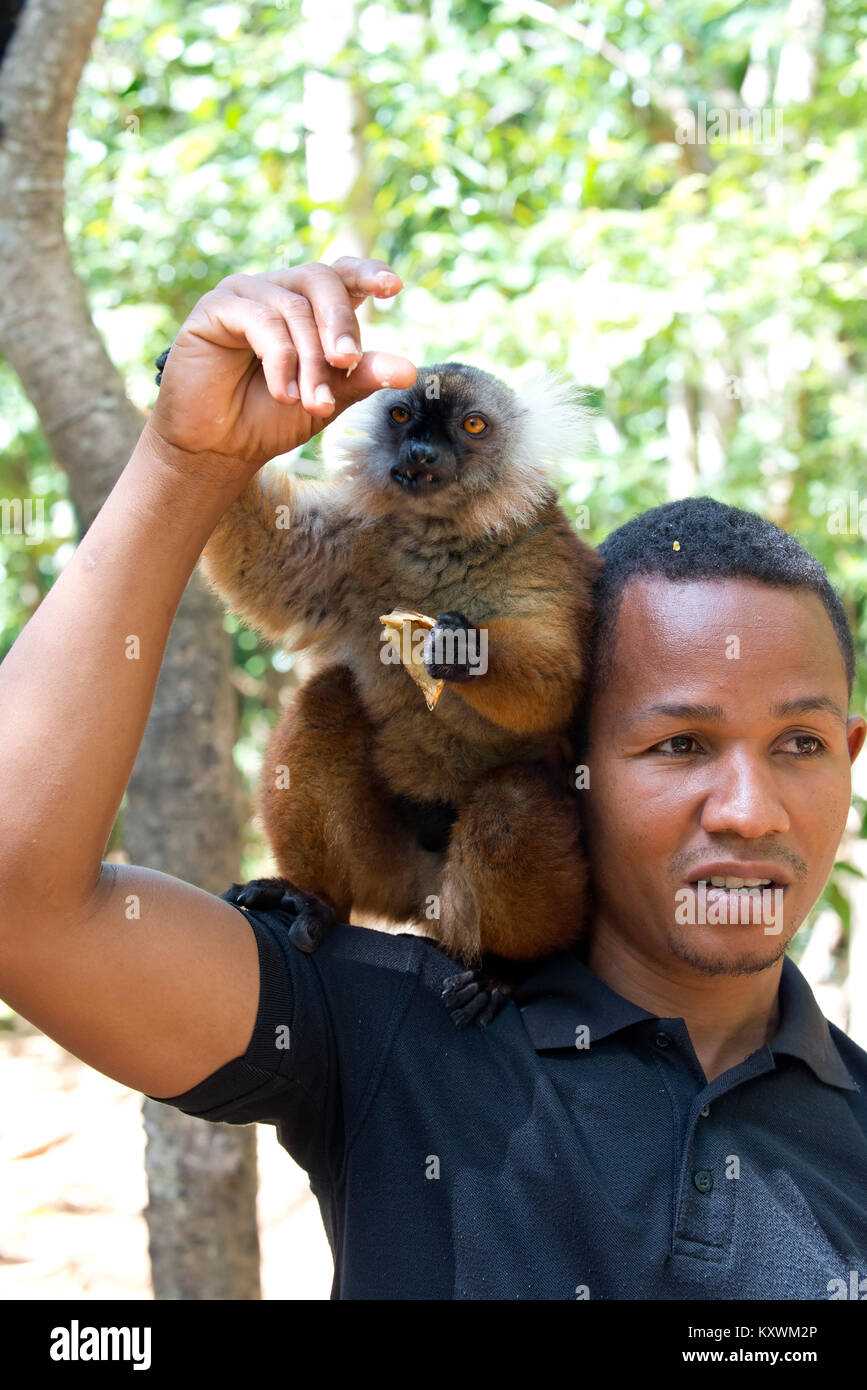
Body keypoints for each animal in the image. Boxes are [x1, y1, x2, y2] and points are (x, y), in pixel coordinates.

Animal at [186, 359, 603, 1024]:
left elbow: (557, 683)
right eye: (403, 415)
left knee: (514, 803)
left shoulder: (543, 558)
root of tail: (420, 899)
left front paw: (459, 649)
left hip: (465, 905)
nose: (421, 453)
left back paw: (507, 968)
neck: (439, 536)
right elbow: (274, 562)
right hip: (385, 870)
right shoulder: (357, 543)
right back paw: (314, 901)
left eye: (473, 424)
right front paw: (208, 411)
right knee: (328, 699)